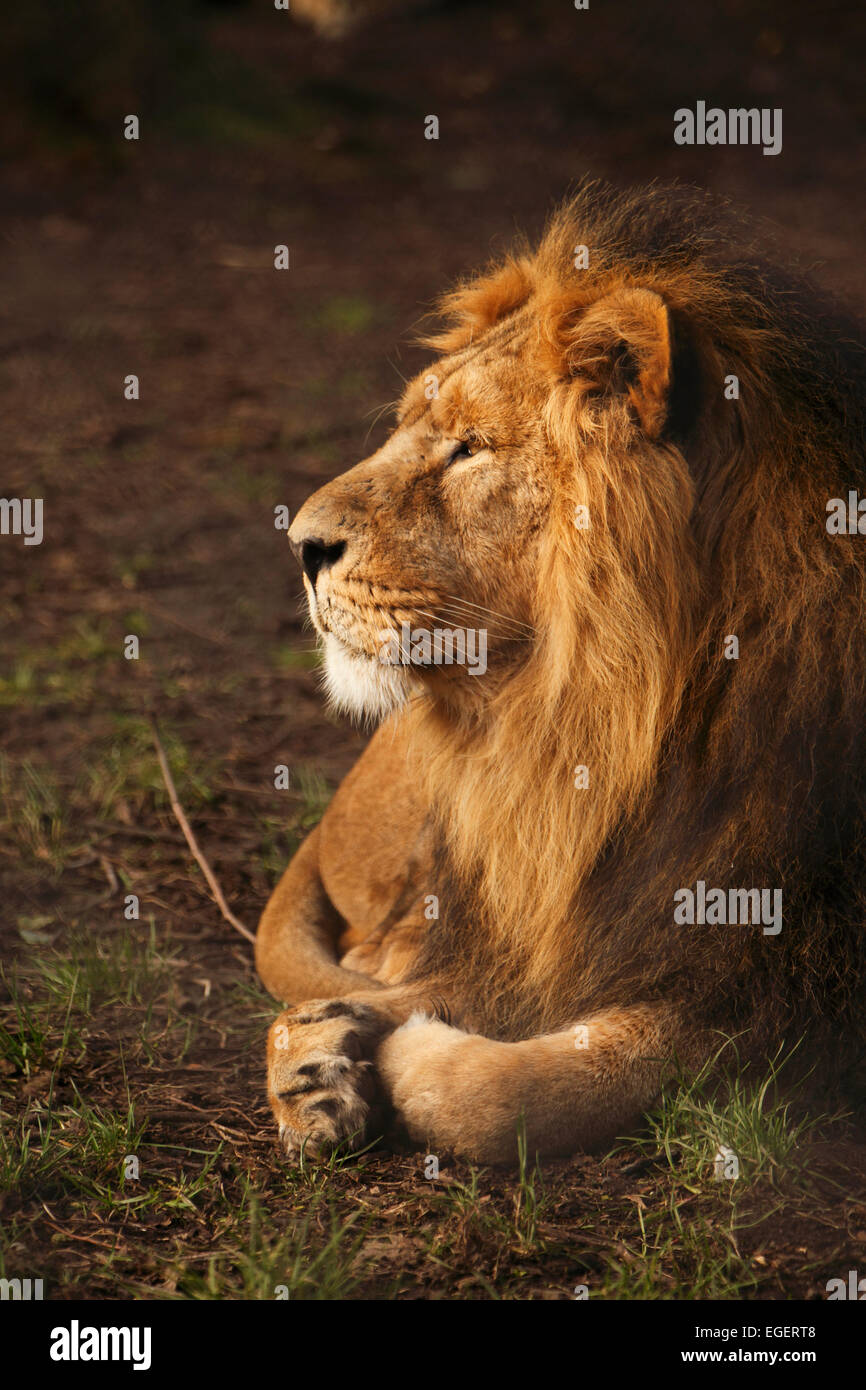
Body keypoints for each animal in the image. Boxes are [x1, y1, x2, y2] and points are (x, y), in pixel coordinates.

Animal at [255, 181, 866, 1164]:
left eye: (470, 447)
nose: (300, 547)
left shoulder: (766, 976)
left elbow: (528, 1084)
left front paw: (400, 1051)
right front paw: (331, 1048)